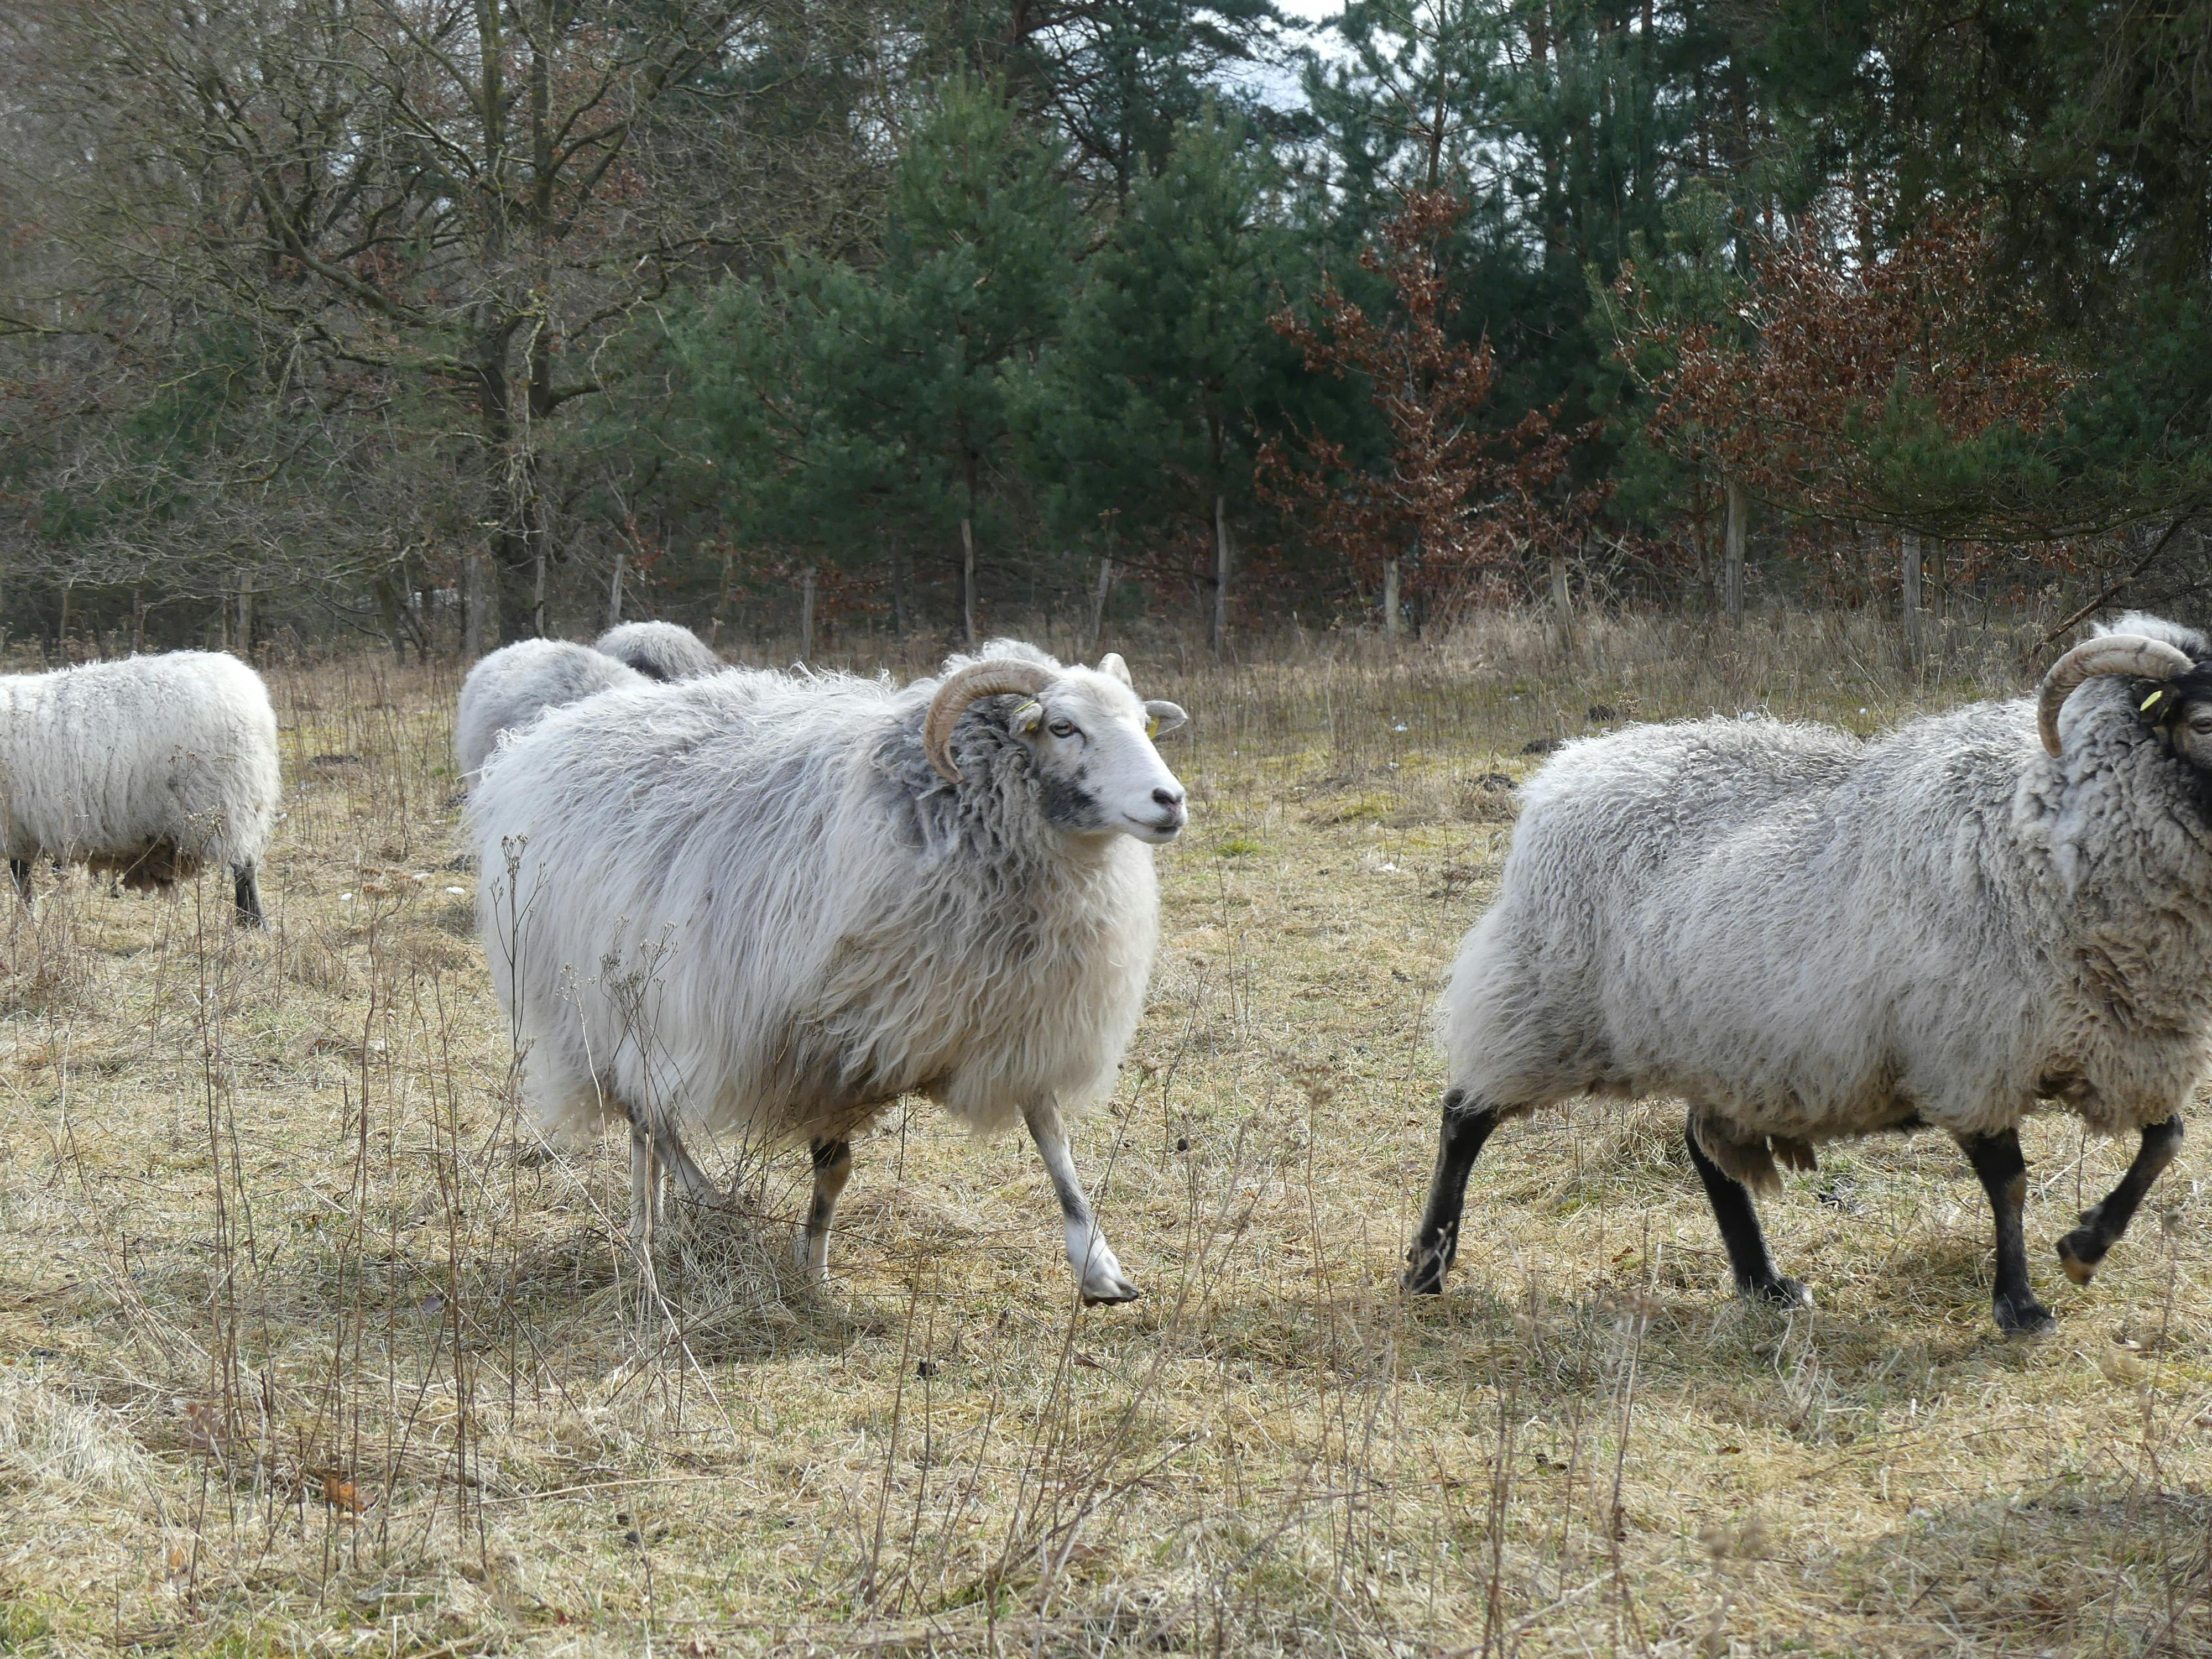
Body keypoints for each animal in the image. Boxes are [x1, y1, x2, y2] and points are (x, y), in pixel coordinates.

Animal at [0, 651, 280, 927]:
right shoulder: (17, 831)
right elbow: (21, 876)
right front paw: (27, 922)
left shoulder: (13, 828)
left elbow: (21, 878)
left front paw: (26, 924)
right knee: (246, 862)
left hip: (226, 800)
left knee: (244, 866)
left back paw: (255, 922)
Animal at [1406, 614, 2212, 1333]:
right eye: (2202, 721)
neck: (2038, 829)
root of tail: (1567, 767)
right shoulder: (1968, 1054)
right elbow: (2008, 1183)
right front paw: (2020, 1305)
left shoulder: (2124, 1047)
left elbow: (2166, 1141)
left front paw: (2086, 1245)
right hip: (1542, 1001)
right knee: (1464, 1116)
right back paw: (1426, 1267)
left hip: (1718, 1045)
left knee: (1704, 1150)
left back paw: (1762, 1282)